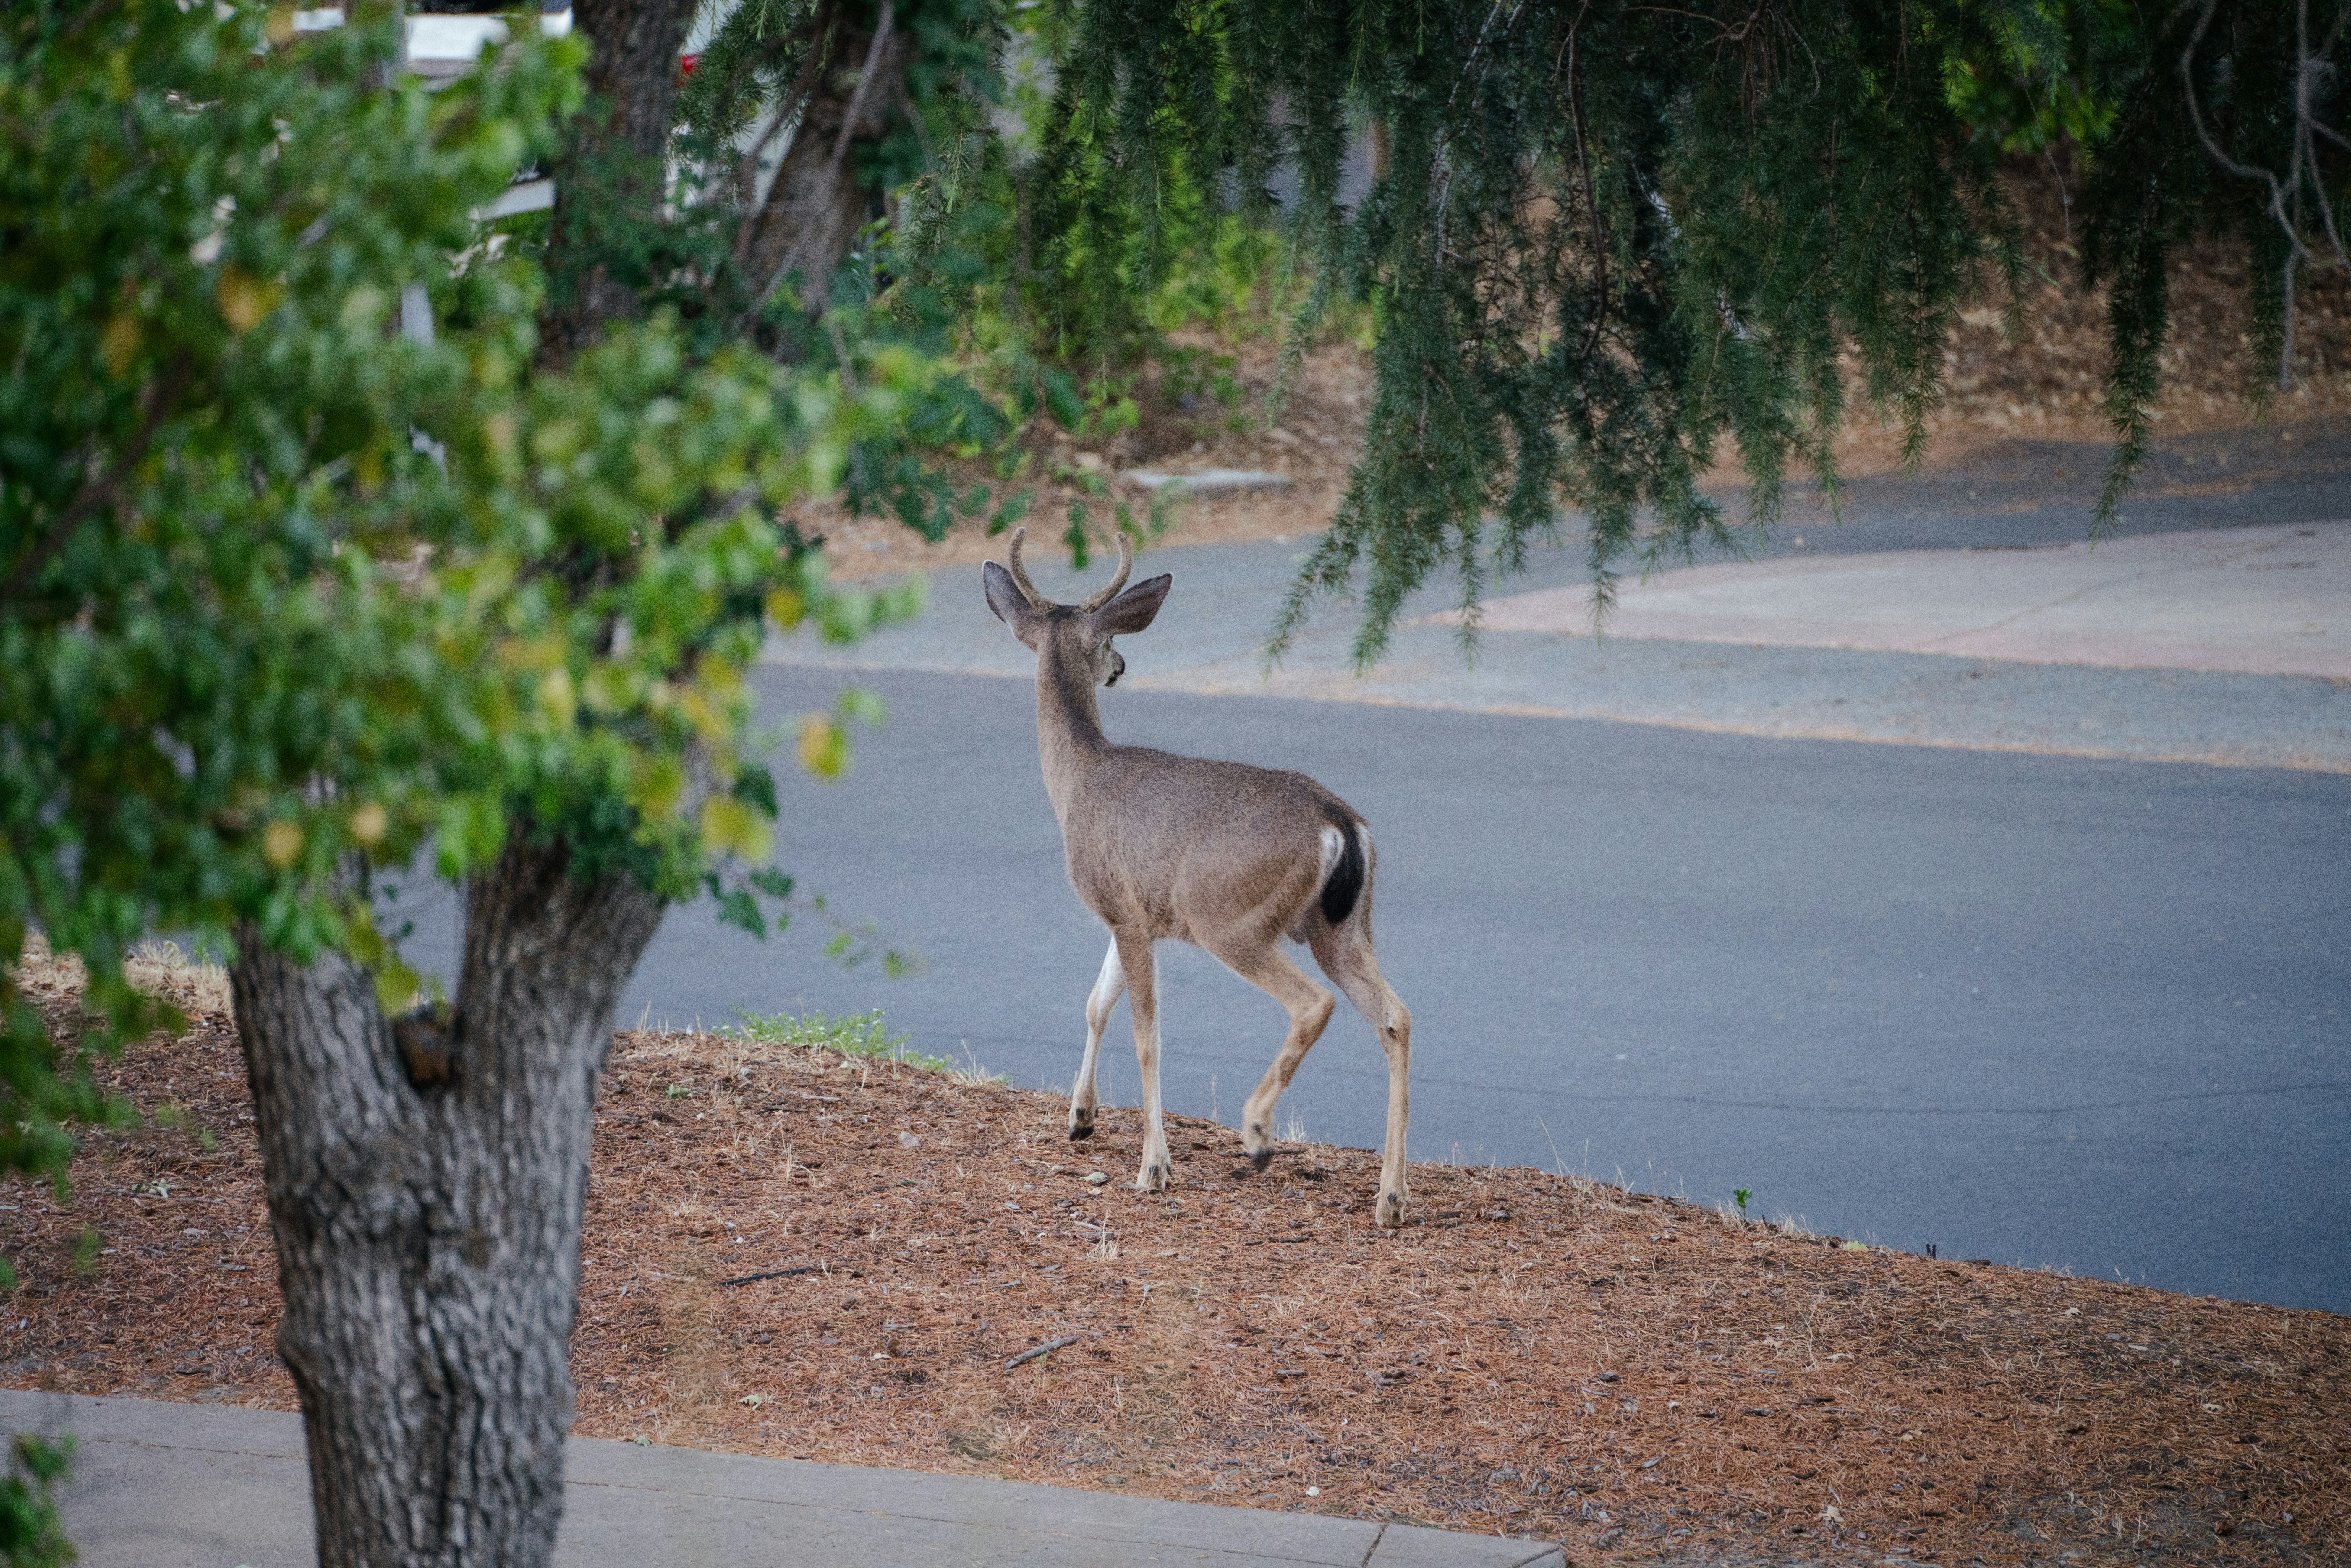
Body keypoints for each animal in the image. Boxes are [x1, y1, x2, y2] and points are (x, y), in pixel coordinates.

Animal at [982, 527, 1414, 1228]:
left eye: (1112, 639)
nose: (1121, 667)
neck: (1076, 781)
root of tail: (1341, 825)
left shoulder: (1124, 911)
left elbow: (1147, 1035)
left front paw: (1153, 1167)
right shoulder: (1132, 912)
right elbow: (1096, 1002)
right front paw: (1080, 1116)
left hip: (1228, 916)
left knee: (1314, 1003)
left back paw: (1259, 1131)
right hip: (1344, 925)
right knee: (1395, 1017)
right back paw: (1392, 1197)